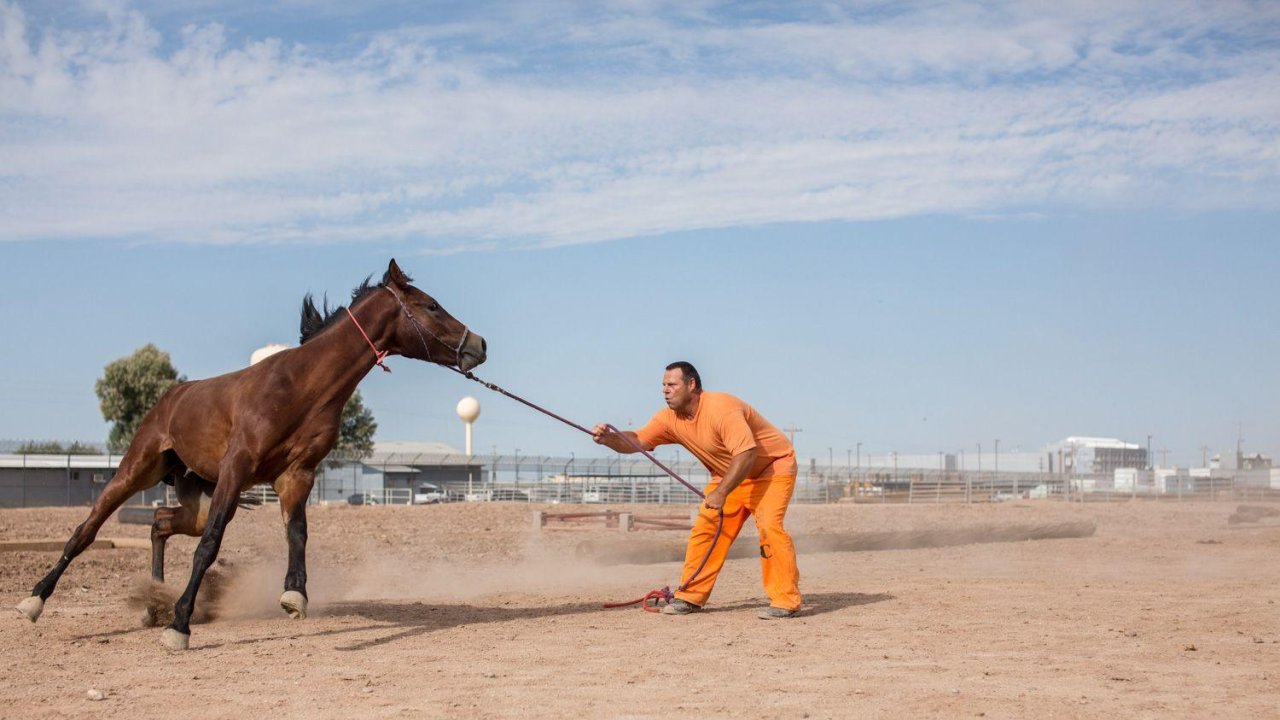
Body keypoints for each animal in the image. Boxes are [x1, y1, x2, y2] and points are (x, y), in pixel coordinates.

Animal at [15, 259, 486, 650]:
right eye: (431, 306)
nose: (479, 345)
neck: (298, 386)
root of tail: (169, 398)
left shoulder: (297, 475)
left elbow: (296, 533)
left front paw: (295, 594)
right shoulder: (236, 468)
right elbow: (210, 545)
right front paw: (179, 627)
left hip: (192, 492)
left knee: (160, 522)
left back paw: (153, 602)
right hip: (138, 470)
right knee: (87, 530)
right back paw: (36, 601)